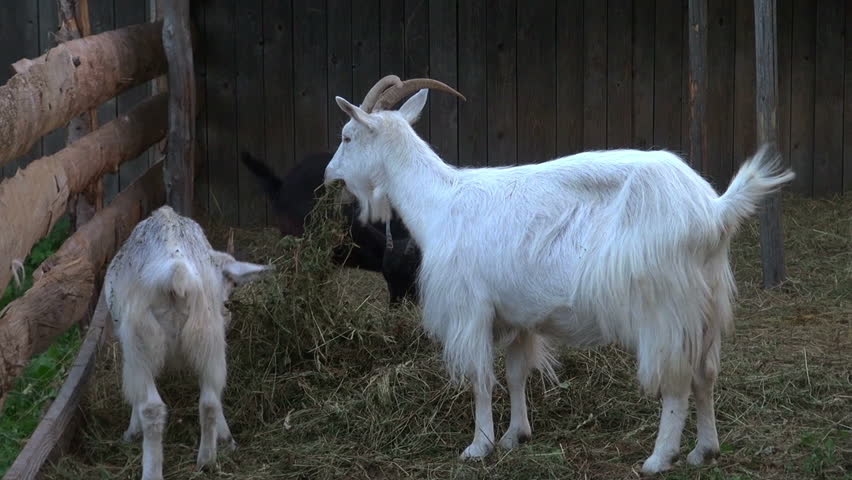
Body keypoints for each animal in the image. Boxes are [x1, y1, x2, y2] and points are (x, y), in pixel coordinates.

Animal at [104, 205, 270, 480]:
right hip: (209, 336)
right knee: (210, 401)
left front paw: (131, 431)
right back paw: (208, 459)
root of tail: (176, 271)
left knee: (152, 408)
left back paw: (152, 471)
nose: (227, 309)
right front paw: (226, 439)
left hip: (140, 341)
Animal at [323, 75, 795, 474]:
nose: (328, 177)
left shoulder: (470, 309)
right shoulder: (516, 314)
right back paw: (705, 450)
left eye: (347, 136)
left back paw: (660, 458)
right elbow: (515, 373)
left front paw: (478, 446)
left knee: (677, 381)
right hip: (707, 303)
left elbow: (480, 378)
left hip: (663, 308)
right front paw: (516, 435)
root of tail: (714, 211)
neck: (440, 201)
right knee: (706, 375)